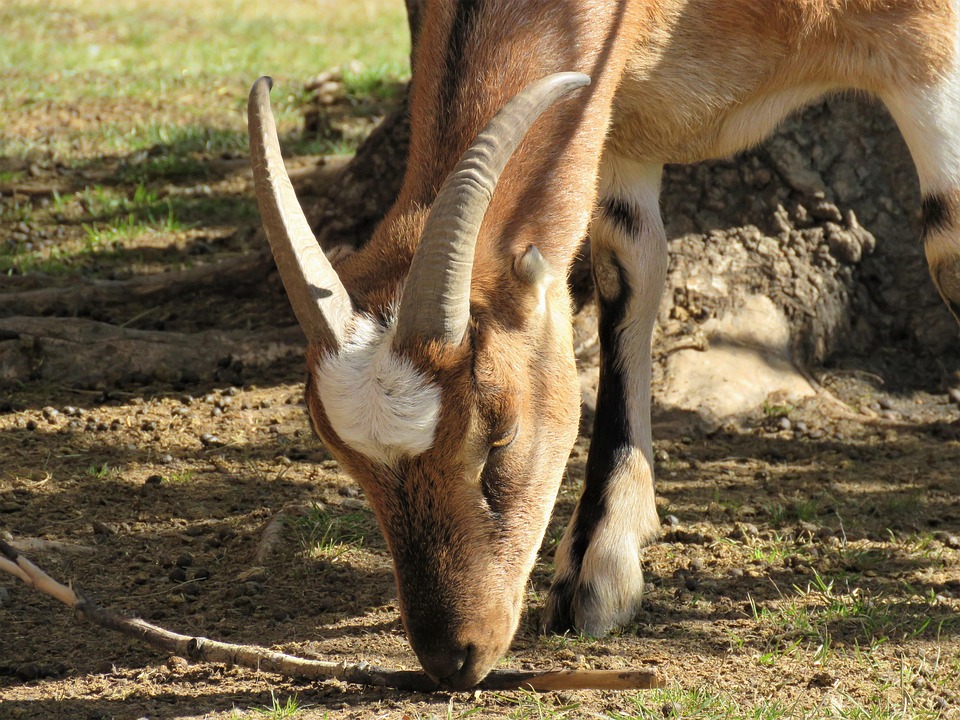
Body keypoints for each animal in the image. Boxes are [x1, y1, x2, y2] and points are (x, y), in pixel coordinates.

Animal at [248, 0, 960, 690]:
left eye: (499, 434)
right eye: (345, 459)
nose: (453, 656)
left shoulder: (929, 47)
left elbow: (948, 246)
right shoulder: (615, 120)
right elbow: (626, 272)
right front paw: (599, 565)